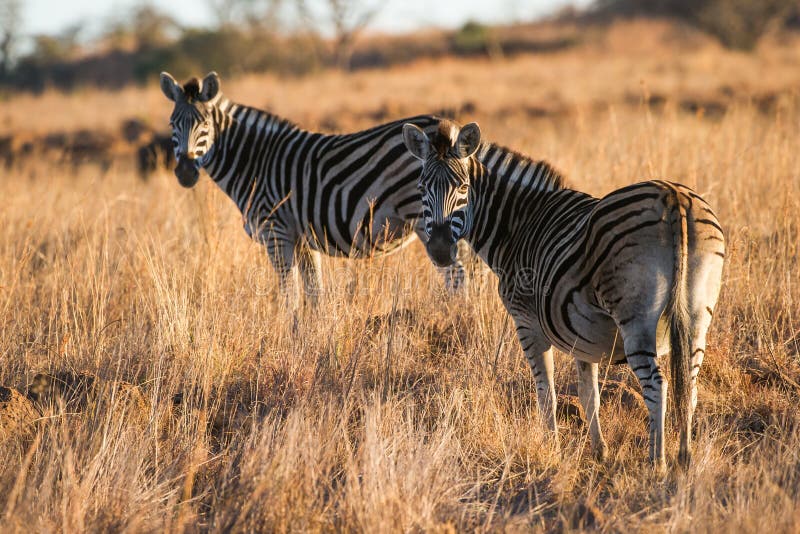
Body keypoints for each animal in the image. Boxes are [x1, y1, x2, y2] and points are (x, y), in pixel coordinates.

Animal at [402, 119, 724, 470]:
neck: (518, 225)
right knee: (688, 386)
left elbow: (547, 391)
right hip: (697, 316)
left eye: (463, 188)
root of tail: (673, 196)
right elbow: (589, 394)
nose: (440, 250)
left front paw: (552, 449)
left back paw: (658, 463)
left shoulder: (526, 322)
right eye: (421, 188)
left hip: (636, 319)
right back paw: (685, 458)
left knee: (657, 385)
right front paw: (599, 451)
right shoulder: (583, 335)